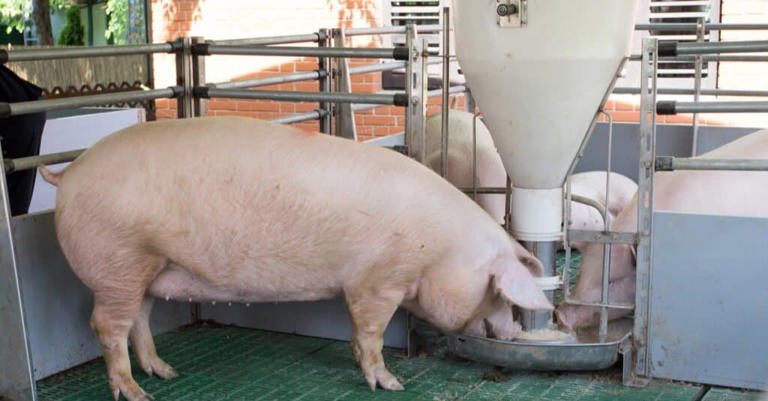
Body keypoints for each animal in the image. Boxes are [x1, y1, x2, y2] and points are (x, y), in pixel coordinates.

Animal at [39, 116, 552, 400]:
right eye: (498, 294)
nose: (513, 334)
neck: (441, 248)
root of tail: (68, 174)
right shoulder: (378, 281)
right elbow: (371, 333)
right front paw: (391, 384)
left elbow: (357, 334)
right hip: (118, 260)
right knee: (106, 326)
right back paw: (136, 394)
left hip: (146, 267)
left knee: (139, 321)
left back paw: (166, 373)